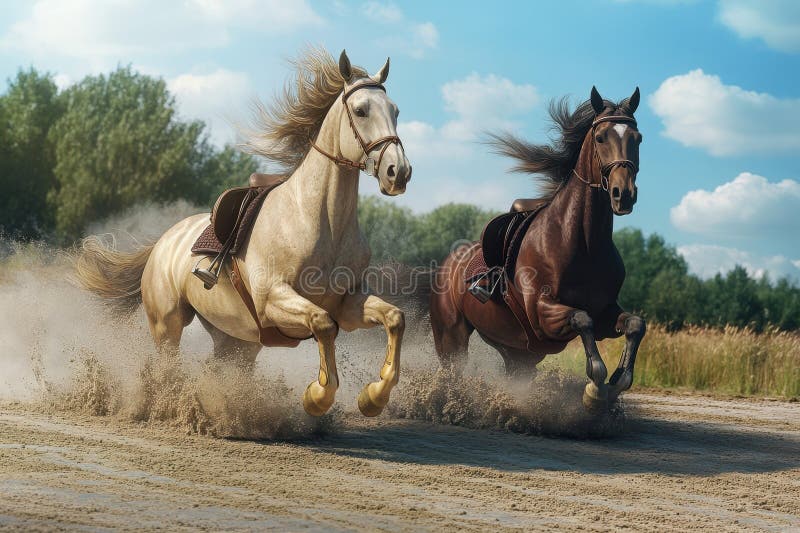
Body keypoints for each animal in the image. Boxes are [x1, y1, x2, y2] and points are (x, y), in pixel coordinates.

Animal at [74, 49, 412, 418]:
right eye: (361, 110)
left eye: (396, 110)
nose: (399, 172)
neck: (323, 221)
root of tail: (162, 242)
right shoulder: (274, 300)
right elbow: (324, 325)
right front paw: (317, 396)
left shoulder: (349, 303)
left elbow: (394, 318)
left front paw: (373, 396)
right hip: (167, 325)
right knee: (167, 368)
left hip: (237, 339)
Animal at [429, 87, 646, 410]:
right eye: (600, 137)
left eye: (638, 138)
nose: (624, 195)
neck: (584, 242)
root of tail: (449, 263)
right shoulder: (543, 315)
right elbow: (582, 319)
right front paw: (594, 389)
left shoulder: (606, 311)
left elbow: (634, 324)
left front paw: (617, 380)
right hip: (451, 337)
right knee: (452, 371)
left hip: (518, 351)